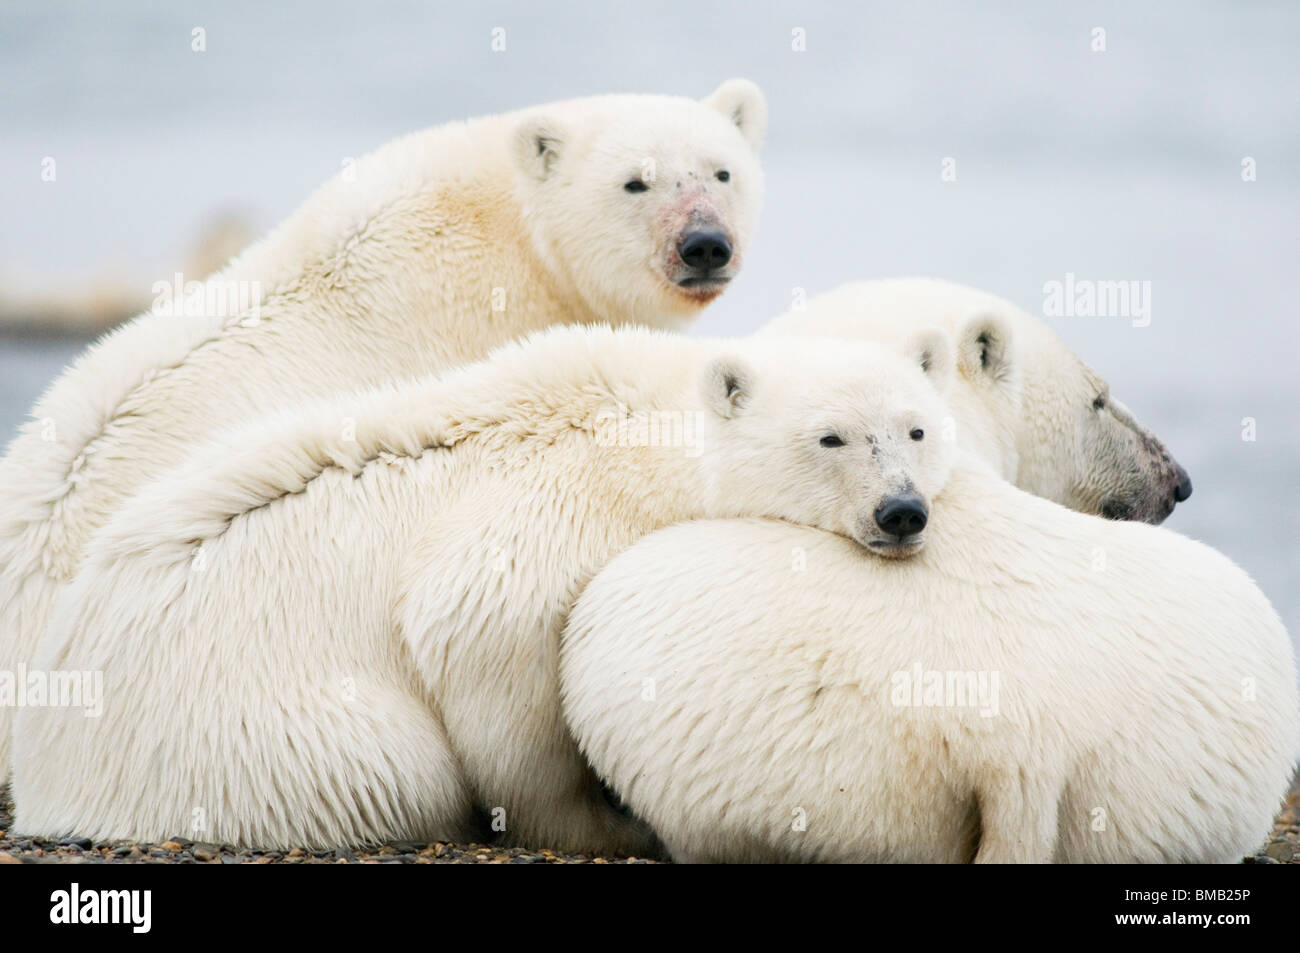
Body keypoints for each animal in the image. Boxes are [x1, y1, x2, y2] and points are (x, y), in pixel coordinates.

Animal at [12, 322, 955, 854]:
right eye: (831, 436)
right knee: (393, 762)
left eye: (915, 427)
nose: (902, 510)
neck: (637, 431)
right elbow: (488, 659)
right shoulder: (537, 522)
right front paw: (609, 826)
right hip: (265, 736)